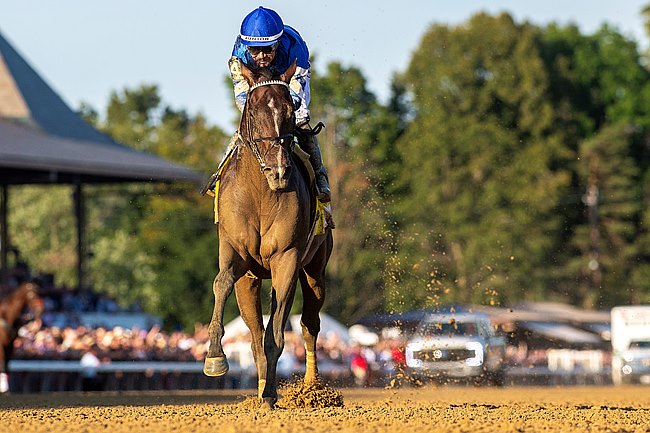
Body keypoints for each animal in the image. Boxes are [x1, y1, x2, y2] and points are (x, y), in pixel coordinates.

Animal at [203, 61, 333, 409]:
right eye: (254, 109)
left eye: (291, 108)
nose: (278, 171)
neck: (261, 193)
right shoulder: (234, 253)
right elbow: (221, 283)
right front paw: (215, 357)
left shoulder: (286, 259)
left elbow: (277, 333)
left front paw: (272, 394)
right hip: (250, 280)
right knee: (253, 334)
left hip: (315, 269)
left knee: (309, 325)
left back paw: (311, 390)